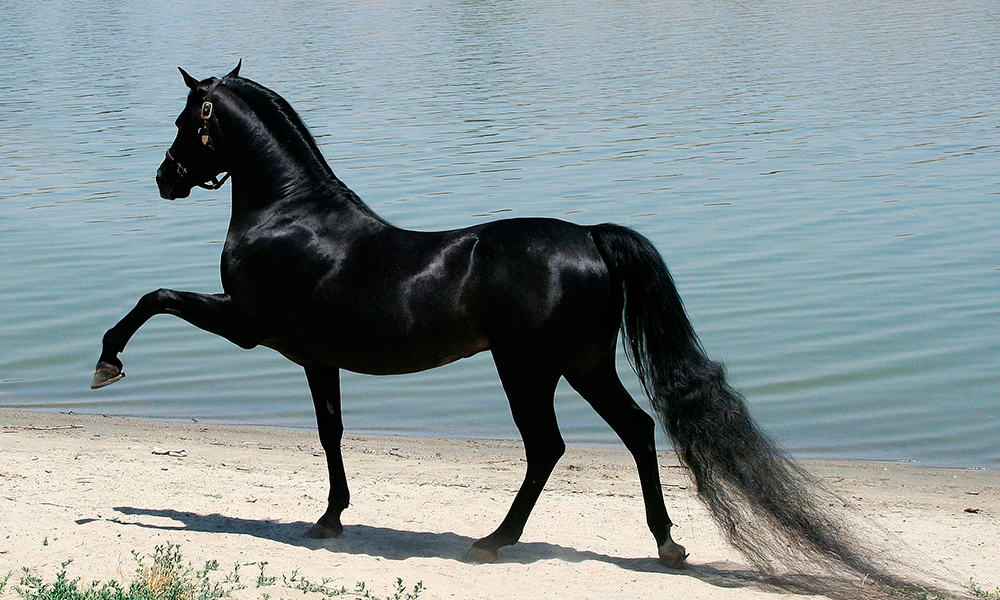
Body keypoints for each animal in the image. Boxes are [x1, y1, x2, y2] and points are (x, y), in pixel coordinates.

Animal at [92, 62, 912, 584]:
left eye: (185, 120)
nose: (164, 179)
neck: (291, 214)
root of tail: (589, 237)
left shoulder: (248, 324)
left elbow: (154, 297)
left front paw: (107, 362)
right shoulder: (316, 357)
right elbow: (331, 433)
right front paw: (330, 518)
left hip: (527, 369)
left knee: (548, 448)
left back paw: (495, 541)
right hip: (583, 365)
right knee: (637, 429)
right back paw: (666, 545)